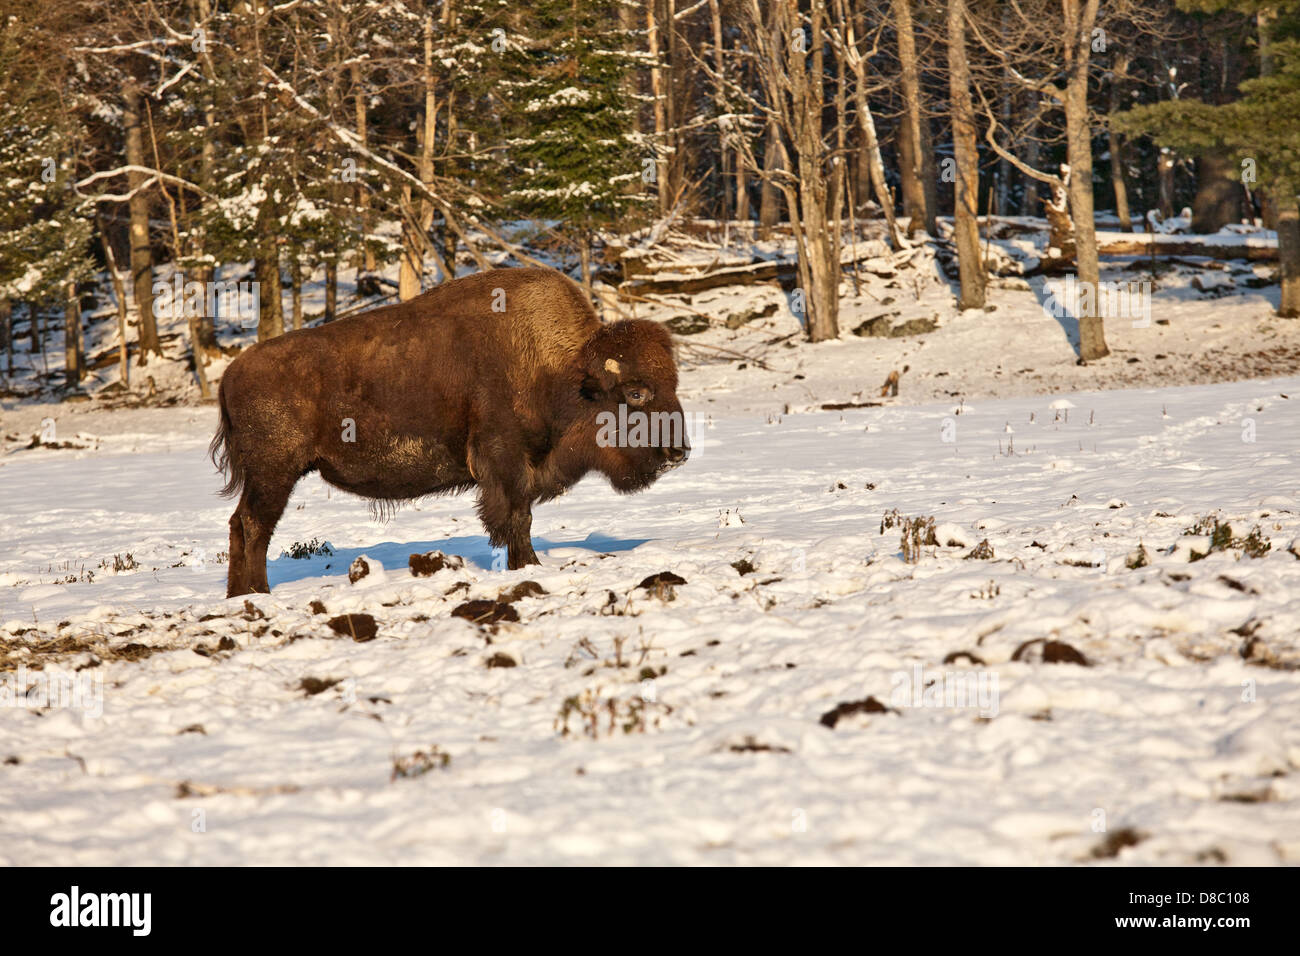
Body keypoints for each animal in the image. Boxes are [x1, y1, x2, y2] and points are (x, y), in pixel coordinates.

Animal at [211, 267, 689, 597]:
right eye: (637, 391)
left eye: (674, 383)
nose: (679, 452)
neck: (563, 372)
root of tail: (231, 374)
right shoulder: (505, 463)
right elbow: (517, 518)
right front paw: (529, 566)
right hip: (274, 473)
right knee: (253, 526)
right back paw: (256, 593)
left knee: (243, 525)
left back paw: (244, 594)